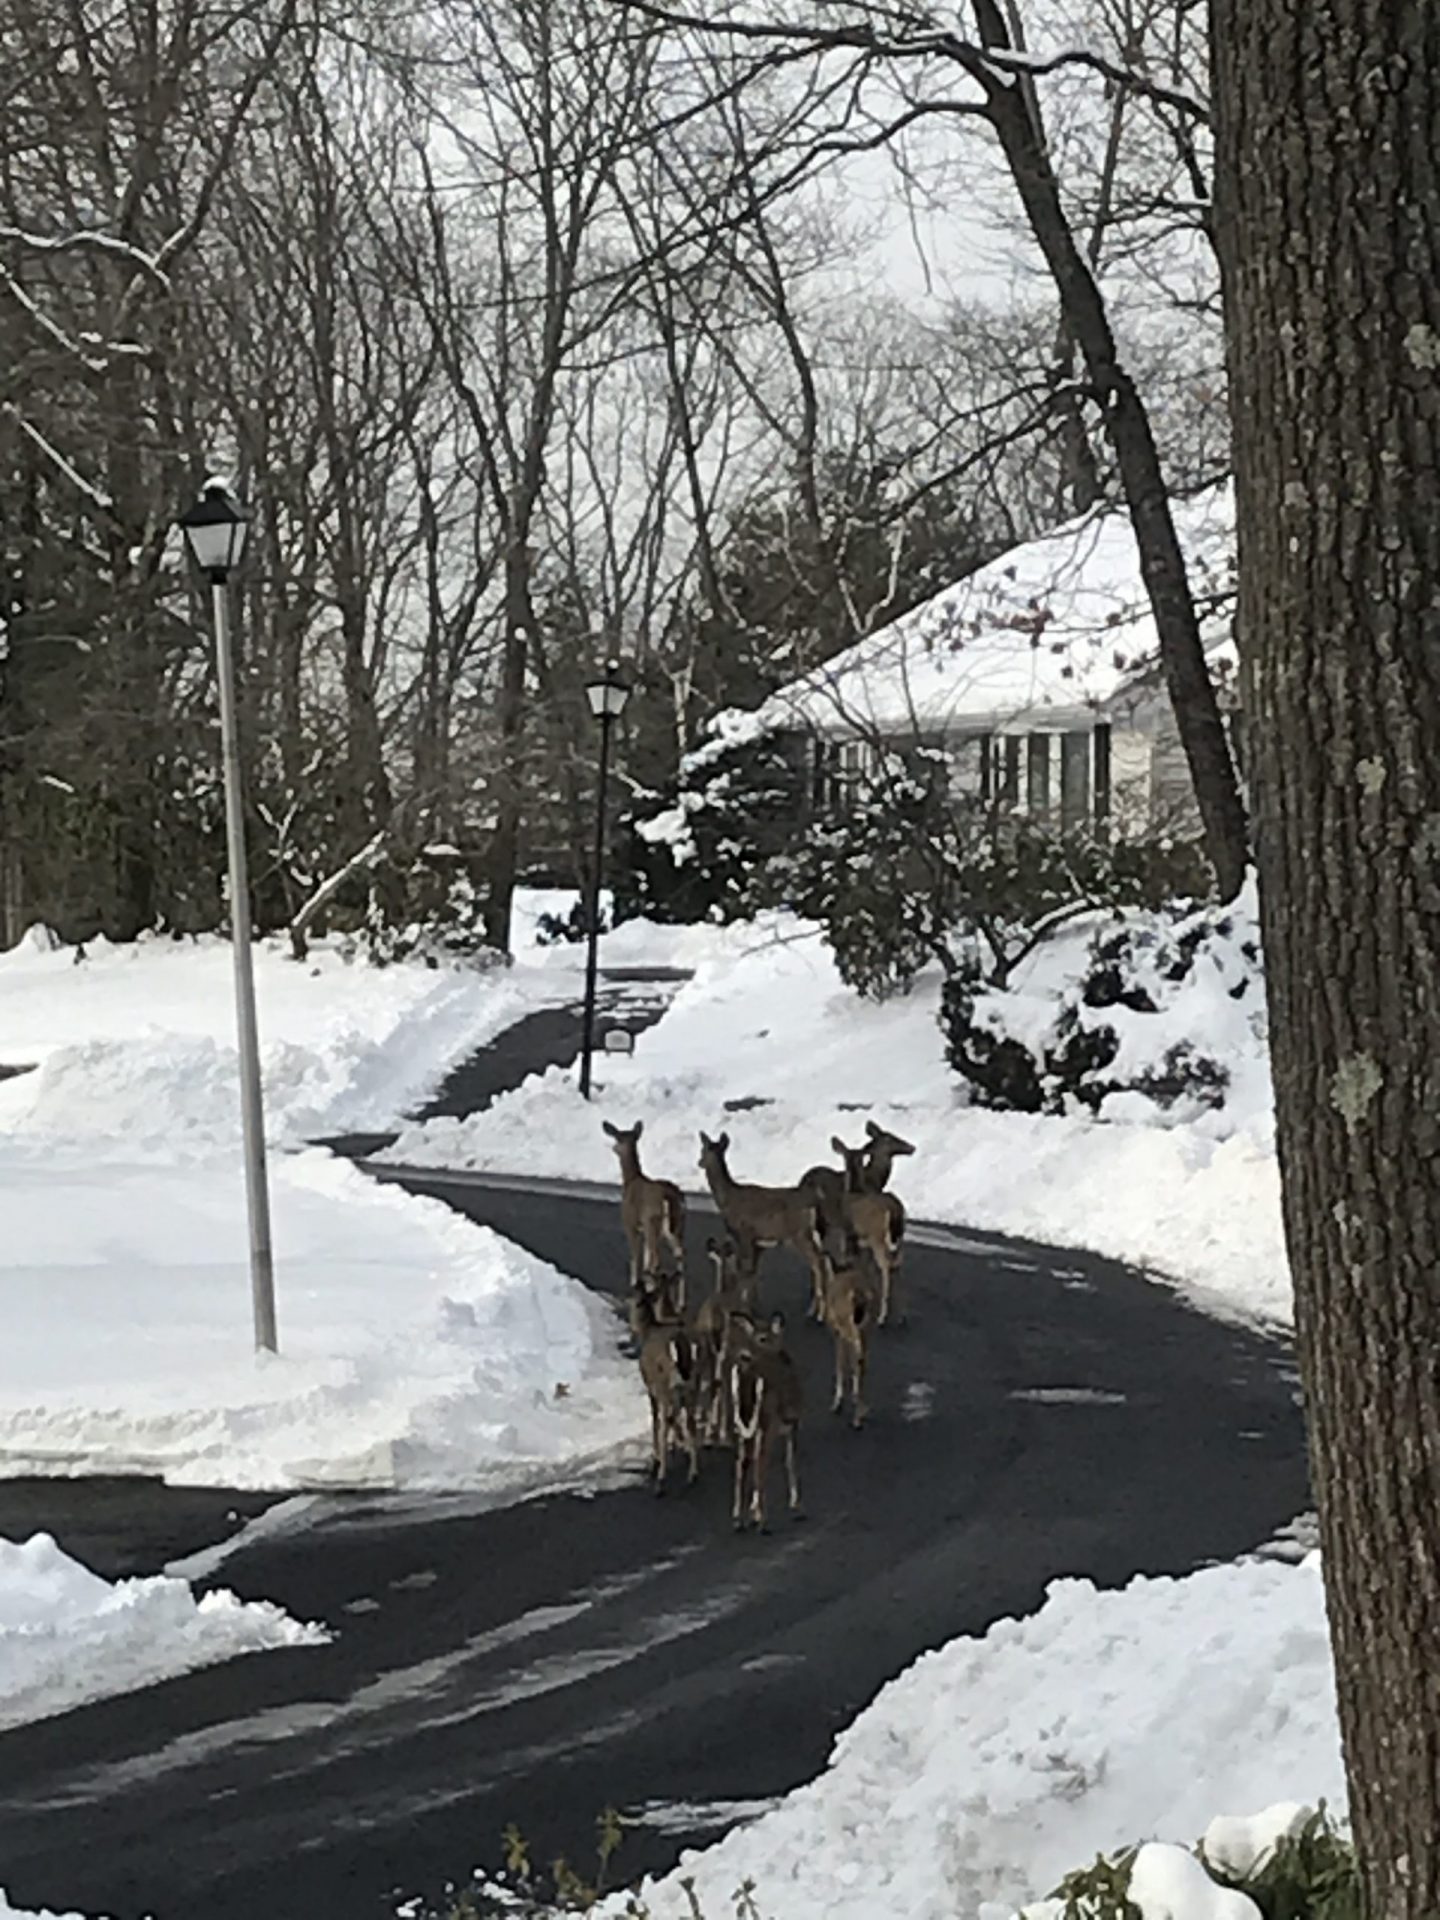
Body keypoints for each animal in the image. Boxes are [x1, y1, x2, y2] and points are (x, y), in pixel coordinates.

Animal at [604, 1119, 687, 1307]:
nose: (613, 1148)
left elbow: (635, 1256)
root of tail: (667, 1195)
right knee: (679, 1254)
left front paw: (635, 1284)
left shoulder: (630, 1224)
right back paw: (680, 1302)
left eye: (617, 1137)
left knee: (655, 1259)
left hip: (652, 1221)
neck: (630, 1180)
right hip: (677, 1223)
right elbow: (644, 1256)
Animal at [630, 1271, 701, 1494]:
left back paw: (660, 1480)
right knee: (690, 1423)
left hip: (666, 1387)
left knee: (666, 1422)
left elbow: (655, 1420)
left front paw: (656, 1460)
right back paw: (692, 1474)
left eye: (636, 1299)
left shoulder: (650, 1387)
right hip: (691, 1386)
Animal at [698, 1130, 827, 1321]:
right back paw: (813, 1309)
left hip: (799, 1234)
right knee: (820, 1262)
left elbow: (743, 1271)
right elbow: (752, 1273)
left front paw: (746, 1307)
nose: (699, 1162)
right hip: (813, 1234)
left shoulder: (744, 1235)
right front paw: (753, 1306)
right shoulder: (757, 1243)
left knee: (818, 1263)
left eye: (703, 1150)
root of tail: (813, 1201)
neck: (727, 1198)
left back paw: (819, 1314)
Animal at [722, 1307, 803, 1532]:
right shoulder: (793, 1422)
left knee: (742, 1462)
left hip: (740, 1419)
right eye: (762, 1338)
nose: (745, 1354)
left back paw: (738, 1519)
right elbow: (790, 1461)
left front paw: (751, 1510)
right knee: (759, 1461)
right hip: (767, 1418)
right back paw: (763, 1521)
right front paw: (796, 1507)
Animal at [816, 1244, 879, 1428]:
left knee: (857, 1362)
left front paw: (839, 1402)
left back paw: (856, 1417)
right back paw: (861, 1411)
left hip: (850, 1329)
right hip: (866, 1329)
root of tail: (858, 1295)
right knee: (862, 1362)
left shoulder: (839, 1334)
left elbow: (841, 1364)